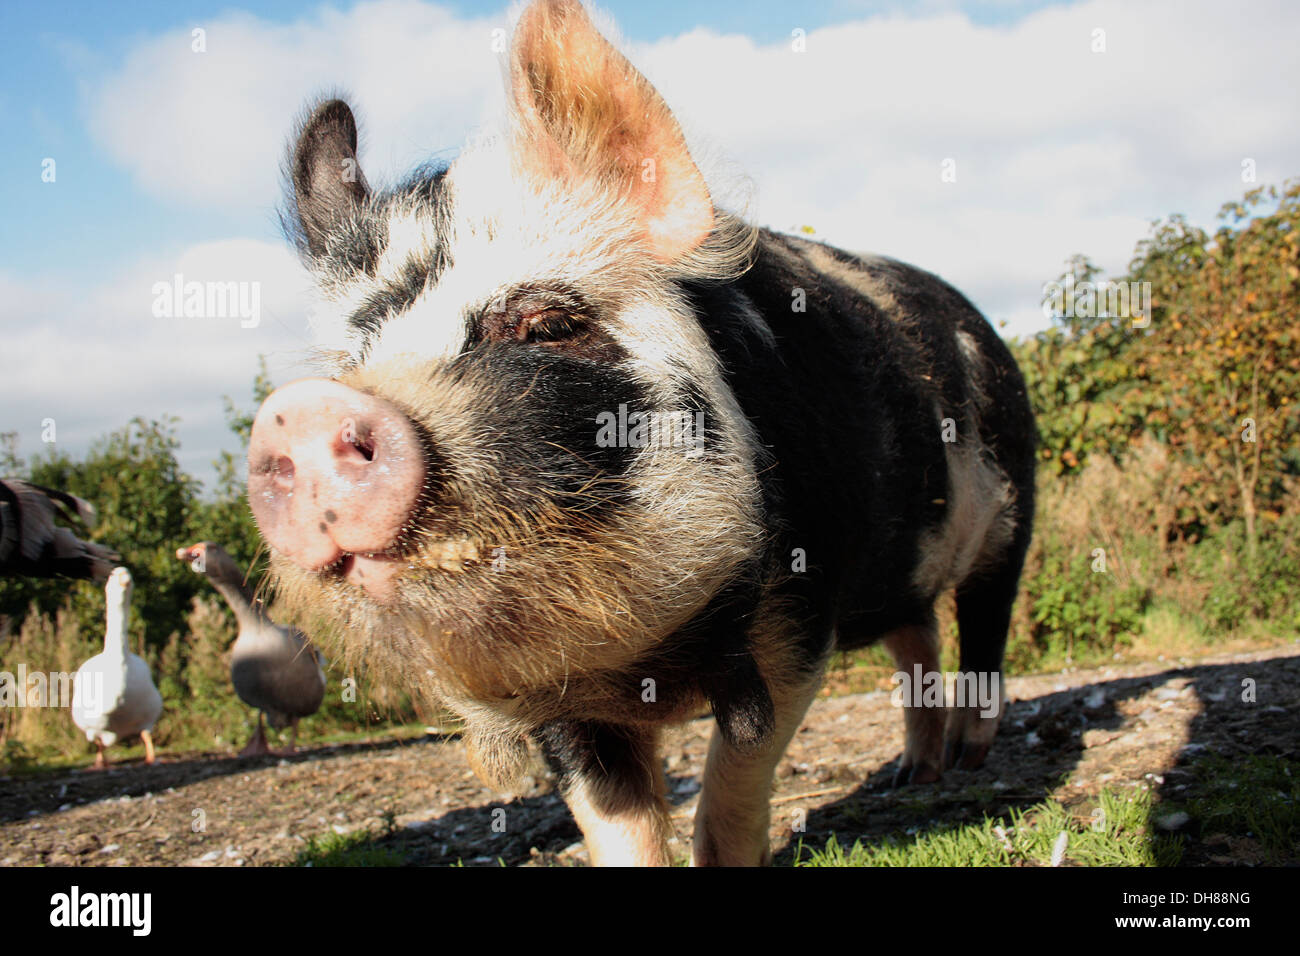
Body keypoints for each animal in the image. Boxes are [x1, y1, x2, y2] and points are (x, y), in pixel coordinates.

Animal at [246, 0, 1037, 866]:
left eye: (546, 323)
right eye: (350, 360)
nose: (300, 410)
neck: (646, 665)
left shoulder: (805, 607)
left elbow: (733, 783)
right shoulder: (560, 705)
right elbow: (613, 817)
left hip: (1014, 506)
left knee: (983, 628)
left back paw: (969, 761)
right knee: (916, 635)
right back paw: (910, 777)